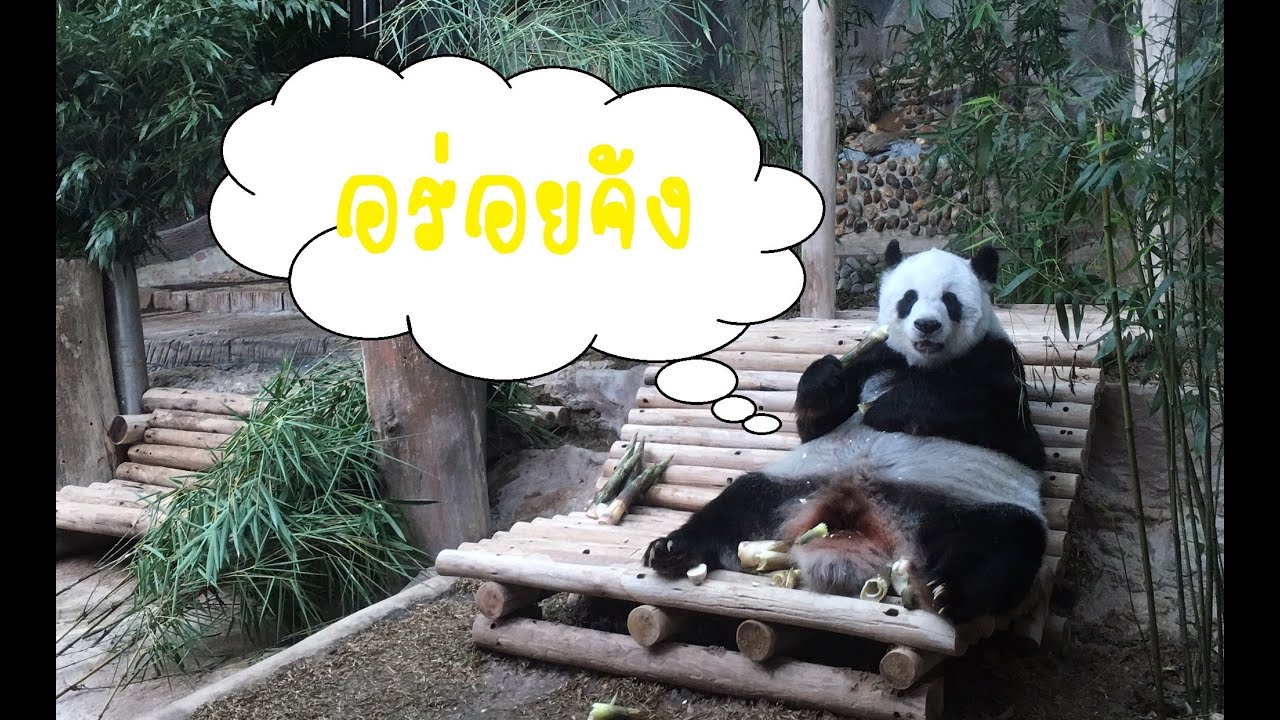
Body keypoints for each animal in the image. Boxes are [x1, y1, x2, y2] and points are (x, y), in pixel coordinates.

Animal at [643, 240, 1049, 622]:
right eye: (909, 299)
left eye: (950, 301)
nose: (927, 325)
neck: (921, 362)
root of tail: (861, 514)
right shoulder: (875, 357)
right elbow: (818, 425)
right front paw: (823, 379)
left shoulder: (999, 362)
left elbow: (1008, 429)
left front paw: (888, 409)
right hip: (794, 487)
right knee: (737, 503)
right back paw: (672, 551)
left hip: (964, 500)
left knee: (1004, 541)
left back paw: (947, 590)